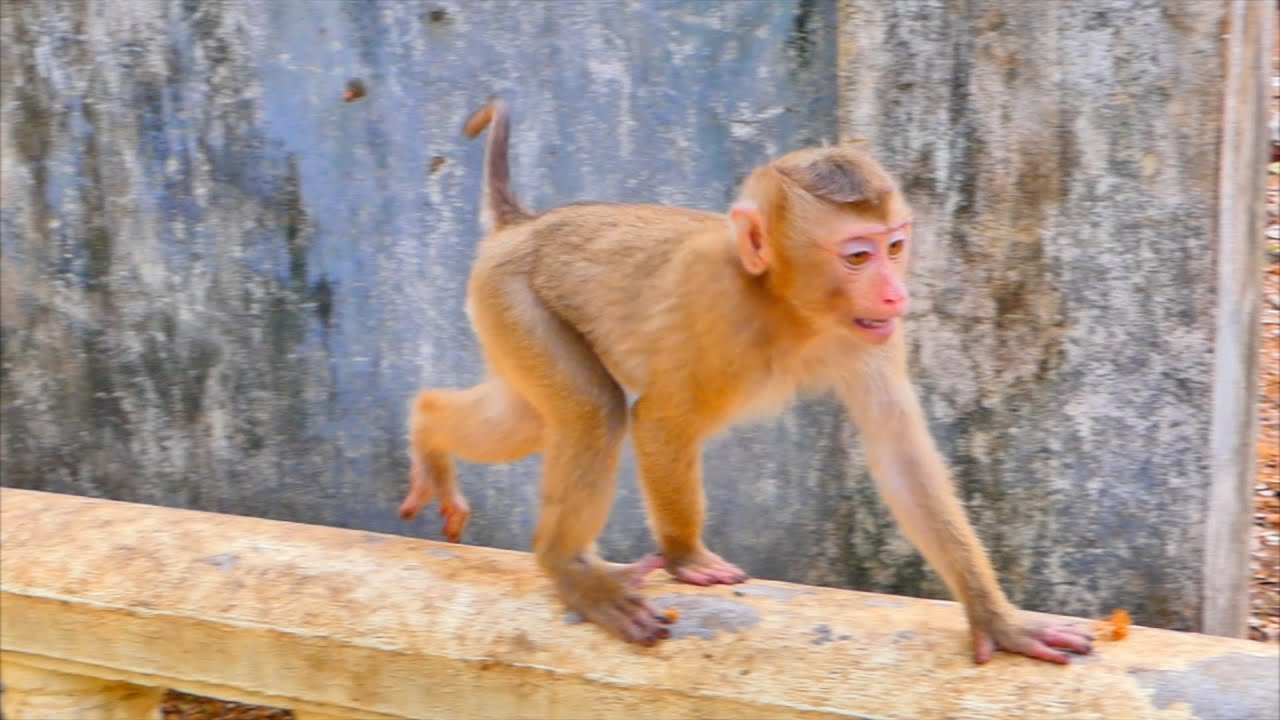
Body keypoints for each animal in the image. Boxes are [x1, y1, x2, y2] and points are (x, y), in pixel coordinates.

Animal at [400, 98, 1094, 663]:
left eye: (895, 247)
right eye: (858, 256)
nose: (896, 294)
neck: (785, 305)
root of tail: (522, 225)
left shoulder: (871, 336)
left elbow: (902, 459)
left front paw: (998, 619)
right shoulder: (716, 307)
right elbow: (660, 420)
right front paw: (684, 556)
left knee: (526, 417)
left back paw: (429, 427)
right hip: (511, 295)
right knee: (596, 411)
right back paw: (568, 566)